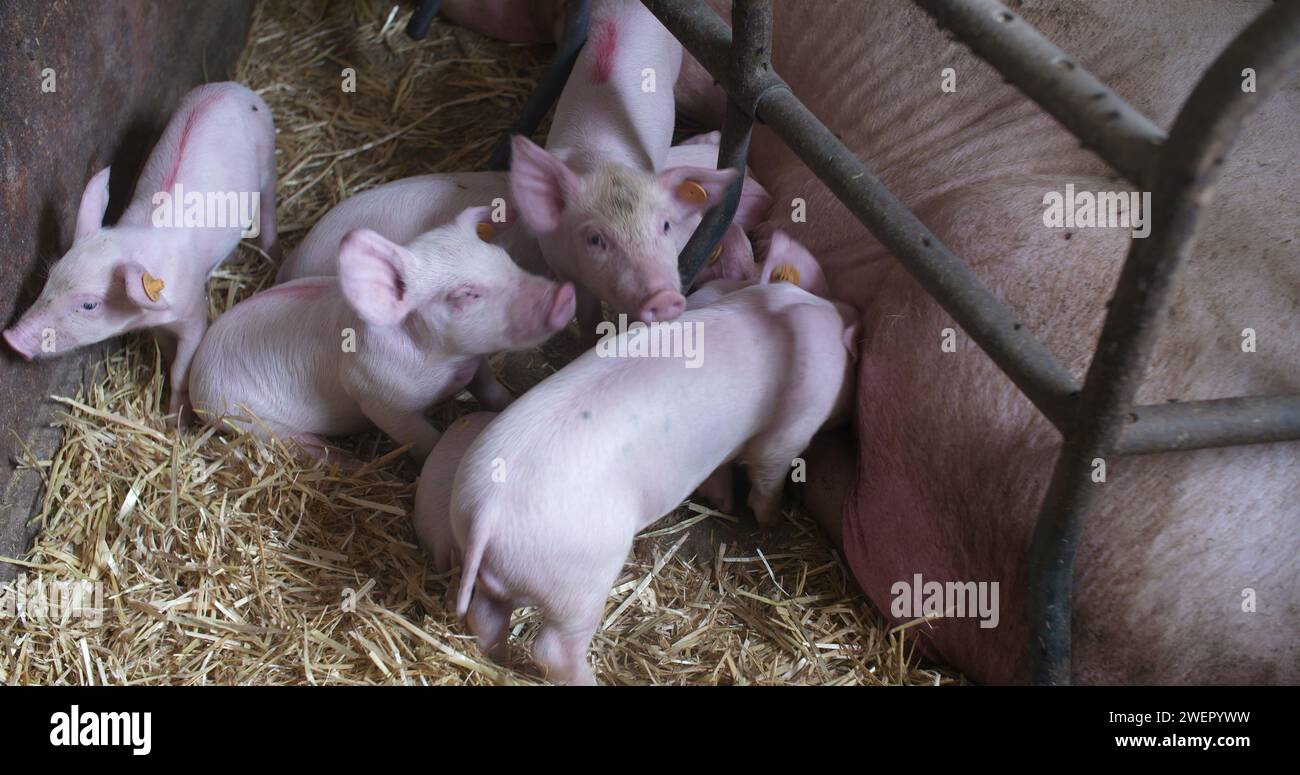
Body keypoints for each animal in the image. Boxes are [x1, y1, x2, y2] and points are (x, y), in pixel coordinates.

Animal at [2, 82, 278, 418]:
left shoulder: (194, 311)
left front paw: (175, 419)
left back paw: (272, 253)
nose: (11, 338)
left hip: (268, 154)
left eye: (90, 305)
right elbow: (168, 352)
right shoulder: (156, 322)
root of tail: (233, 88)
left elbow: (181, 369)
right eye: (51, 274)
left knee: (268, 204)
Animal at [188, 207, 574, 461]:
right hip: (247, 418)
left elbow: (492, 390)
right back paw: (348, 462)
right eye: (466, 294)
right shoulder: (380, 399)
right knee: (298, 443)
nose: (563, 294)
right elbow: (424, 440)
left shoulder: (473, 362)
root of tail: (196, 371)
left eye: (505, 258)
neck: (446, 365)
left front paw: (511, 402)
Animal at [445, 232, 858, 684]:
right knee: (552, 648)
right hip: (579, 578)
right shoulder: (792, 427)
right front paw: (770, 522)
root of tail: (486, 511)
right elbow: (768, 474)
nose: (856, 312)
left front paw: (723, 502)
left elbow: (719, 470)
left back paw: (498, 658)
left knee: (485, 618)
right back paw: (589, 678)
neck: (792, 309)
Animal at [507, 0, 744, 336]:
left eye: (666, 226)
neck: (601, 160)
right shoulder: (561, 263)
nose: (664, 296)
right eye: (595, 239)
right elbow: (588, 312)